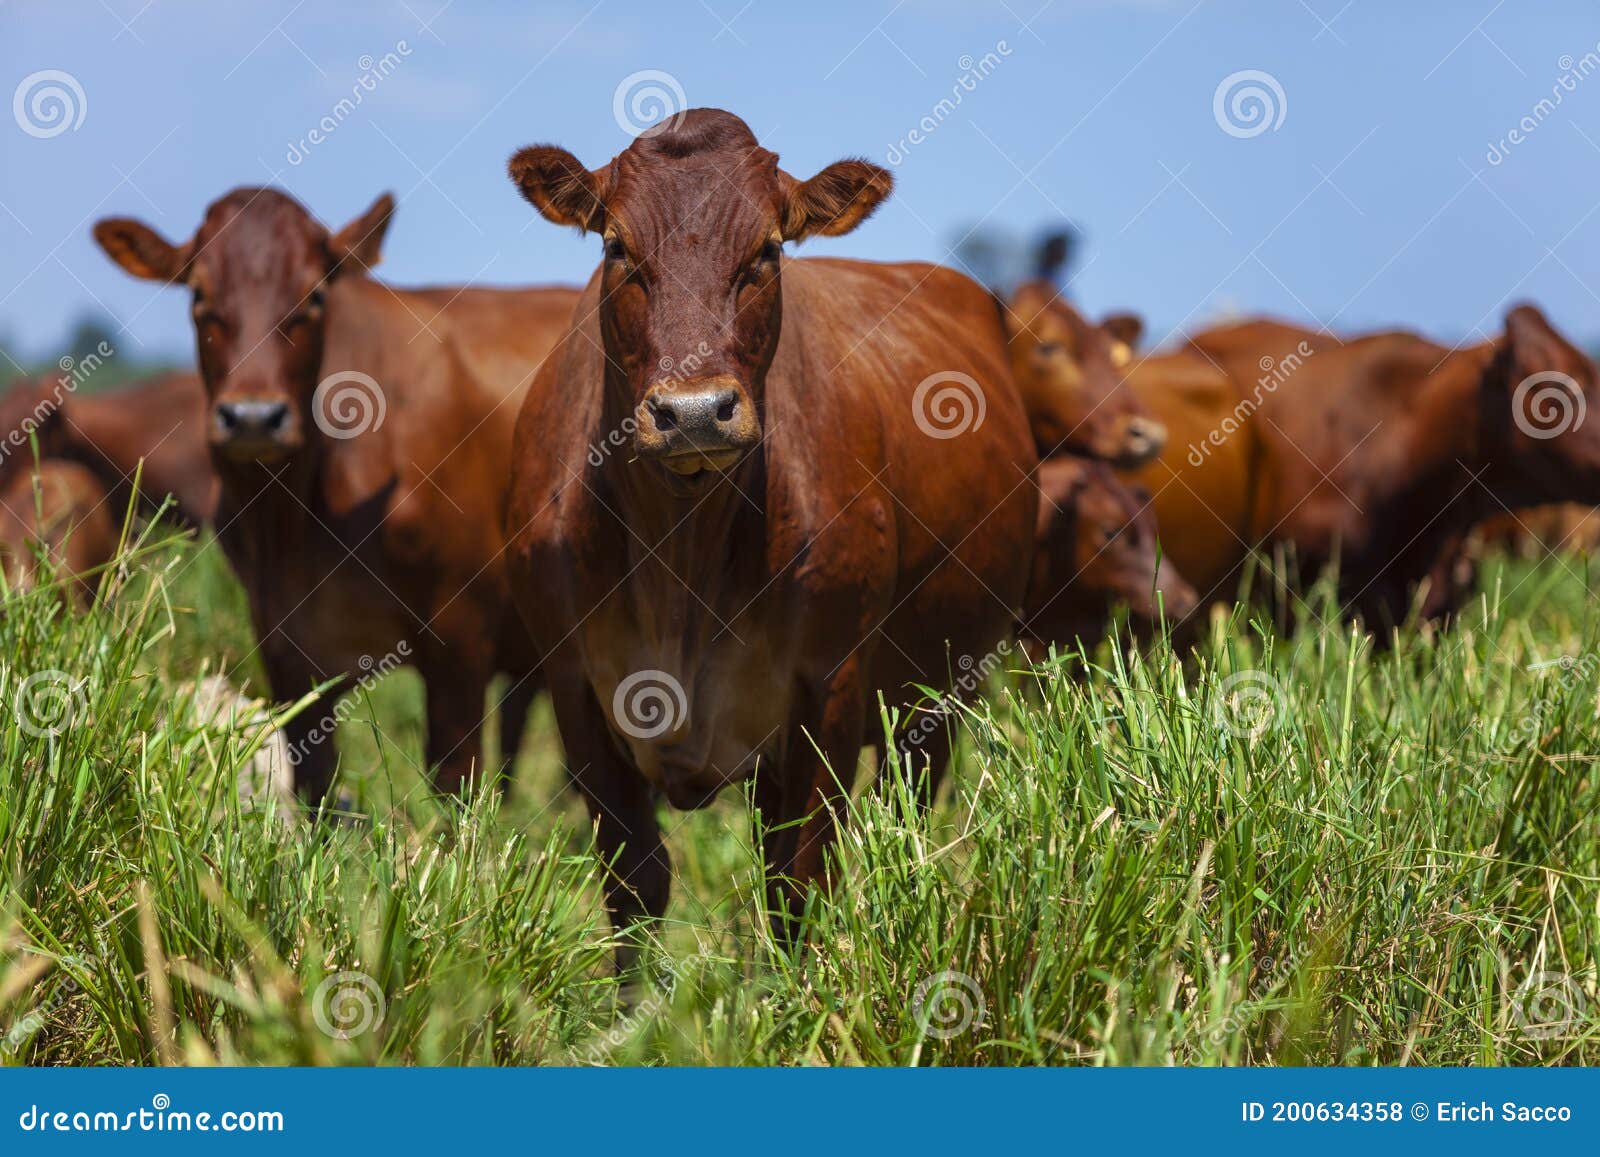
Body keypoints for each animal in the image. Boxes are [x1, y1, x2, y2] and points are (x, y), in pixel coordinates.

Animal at [93, 188, 579, 801]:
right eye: (199, 293)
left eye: (315, 294)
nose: (252, 417)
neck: (293, 521)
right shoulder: (286, 648)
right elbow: (315, 784)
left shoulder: (461, 637)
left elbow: (455, 783)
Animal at [502, 109, 1037, 951]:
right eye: (617, 245)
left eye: (767, 249)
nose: (693, 411)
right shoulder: (574, 685)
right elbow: (635, 883)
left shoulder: (831, 683)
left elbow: (801, 883)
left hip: (940, 695)